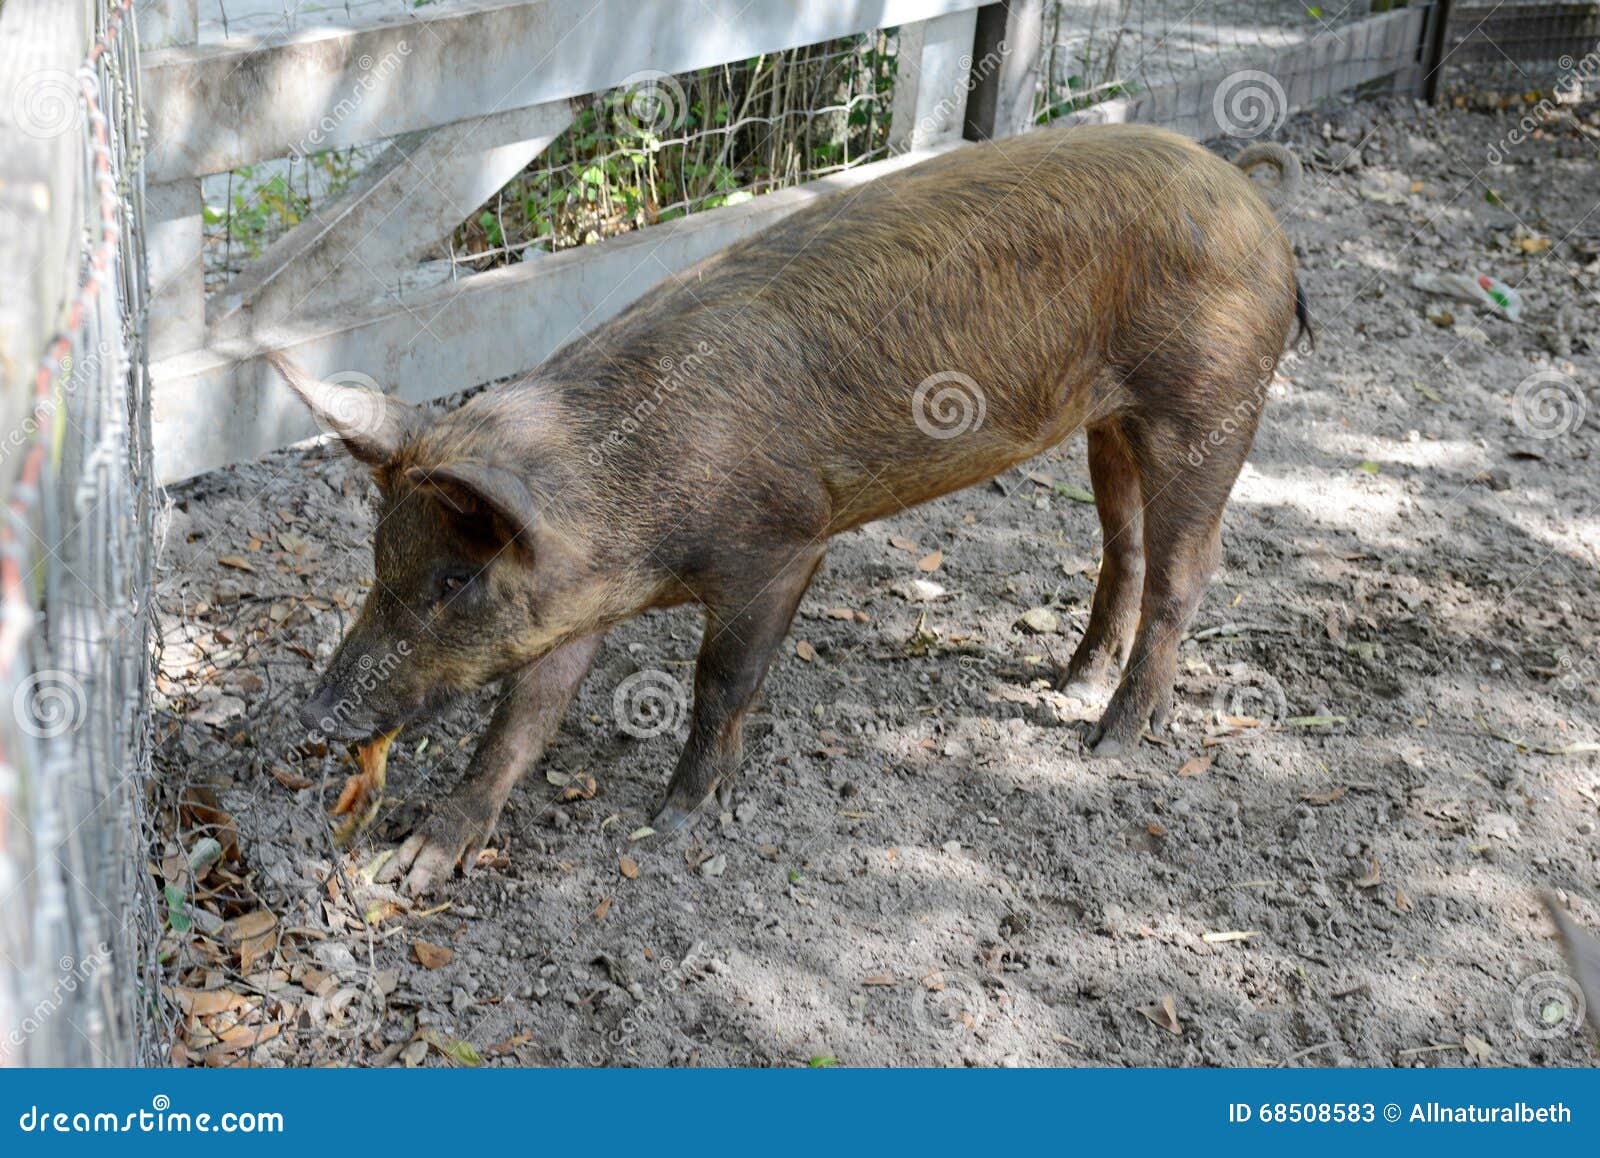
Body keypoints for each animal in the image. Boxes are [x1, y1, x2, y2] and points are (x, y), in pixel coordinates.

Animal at [270, 123, 1309, 894]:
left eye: (454, 579)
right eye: (378, 562)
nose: (315, 712)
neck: (626, 498)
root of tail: (1249, 195)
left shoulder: (783, 545)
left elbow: (721, 683)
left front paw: (673, 821)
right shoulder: (571, 598)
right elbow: (523, 717)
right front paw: (413, 868)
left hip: (1208, 400)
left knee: (1188, 569)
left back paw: (1108, 741)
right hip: (1113, 422)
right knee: (1123, 551)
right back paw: (1071, 690)